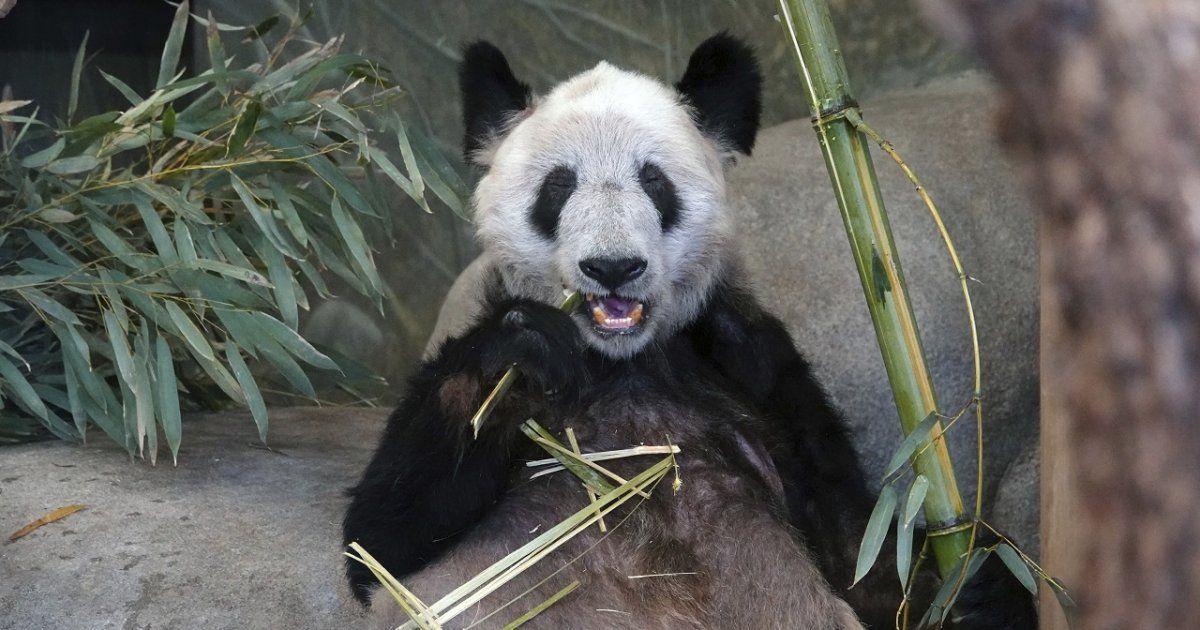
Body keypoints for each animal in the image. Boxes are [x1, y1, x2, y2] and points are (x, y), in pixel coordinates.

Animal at [343, 35, 1037, 629]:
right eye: (558, 185)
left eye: (654, 180)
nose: (613, 267)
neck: (619, 361)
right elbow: (382, 539)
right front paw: (522, 351)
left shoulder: (750, 366)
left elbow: (860, 555)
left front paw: (982, 582)